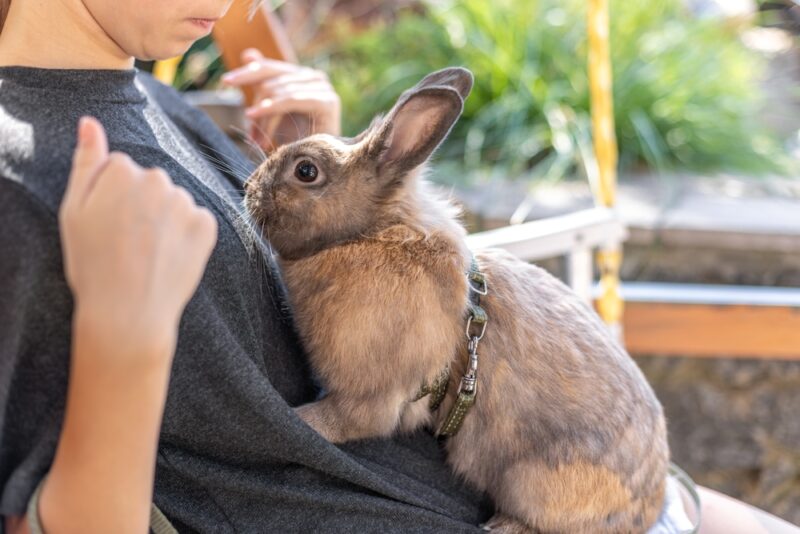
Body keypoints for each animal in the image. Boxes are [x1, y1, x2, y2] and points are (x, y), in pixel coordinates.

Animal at [243, 67, 669, 534]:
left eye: (306, 171)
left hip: (530, 480)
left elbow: (343, 421)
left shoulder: (370, 394)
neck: (371, 235)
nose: (247, 188)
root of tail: (647, 510)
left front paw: (297, 419)